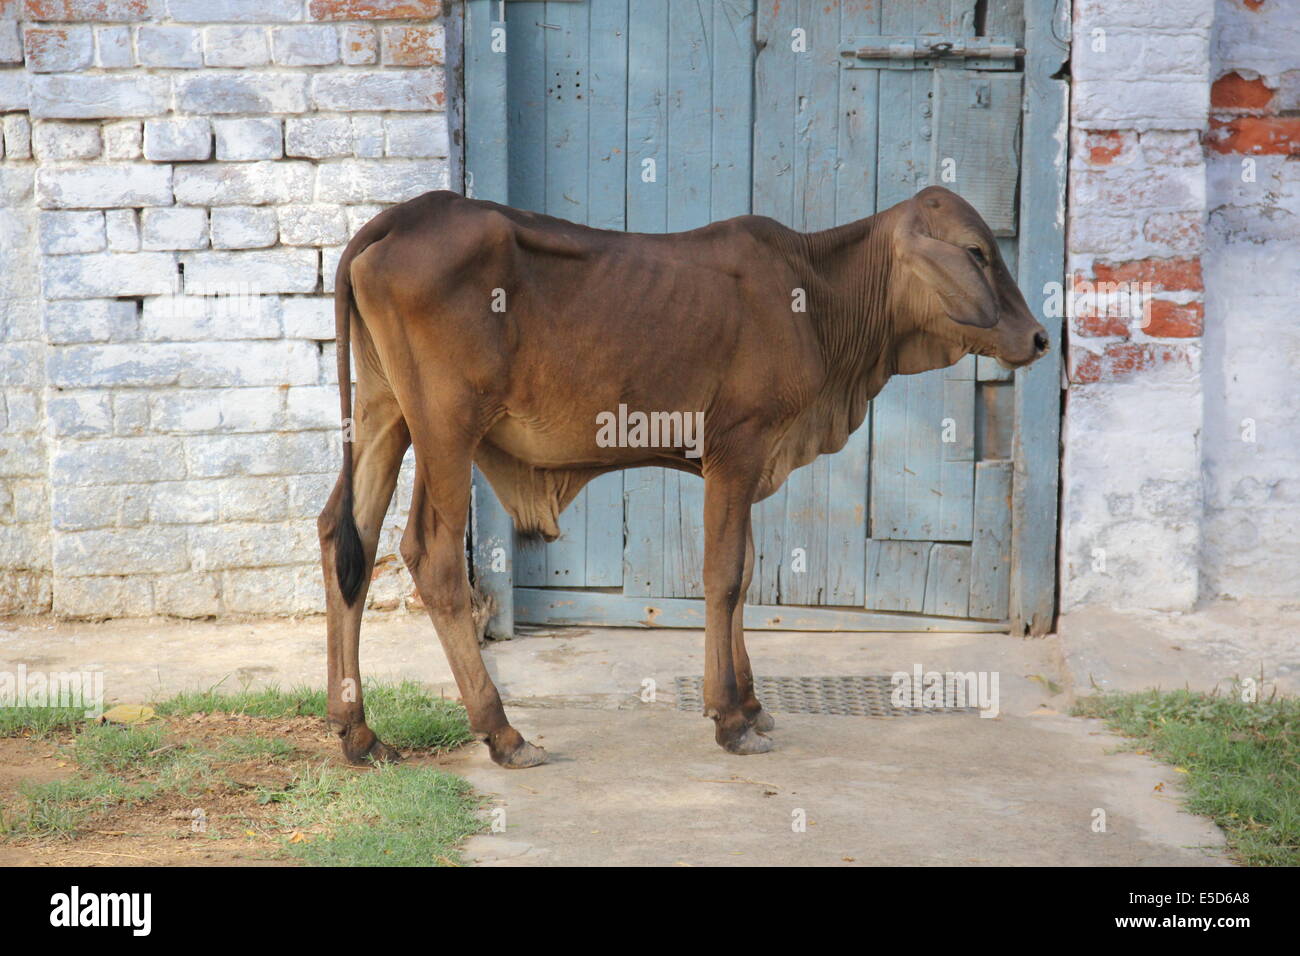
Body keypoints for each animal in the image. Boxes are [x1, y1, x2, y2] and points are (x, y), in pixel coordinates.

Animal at [317, 185, 1048, 769]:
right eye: (976, 252)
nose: (1040, 338)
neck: (820, 298)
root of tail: (403, 216)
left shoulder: (746, 463)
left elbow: (745, 576)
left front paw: (752, 705)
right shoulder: (737, 448)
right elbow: (723, 577)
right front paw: (730, 719)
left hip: (384, 411)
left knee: (343, 536)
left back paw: (358, 731)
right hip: (446, 426)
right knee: (429, 555)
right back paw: (502, 733)